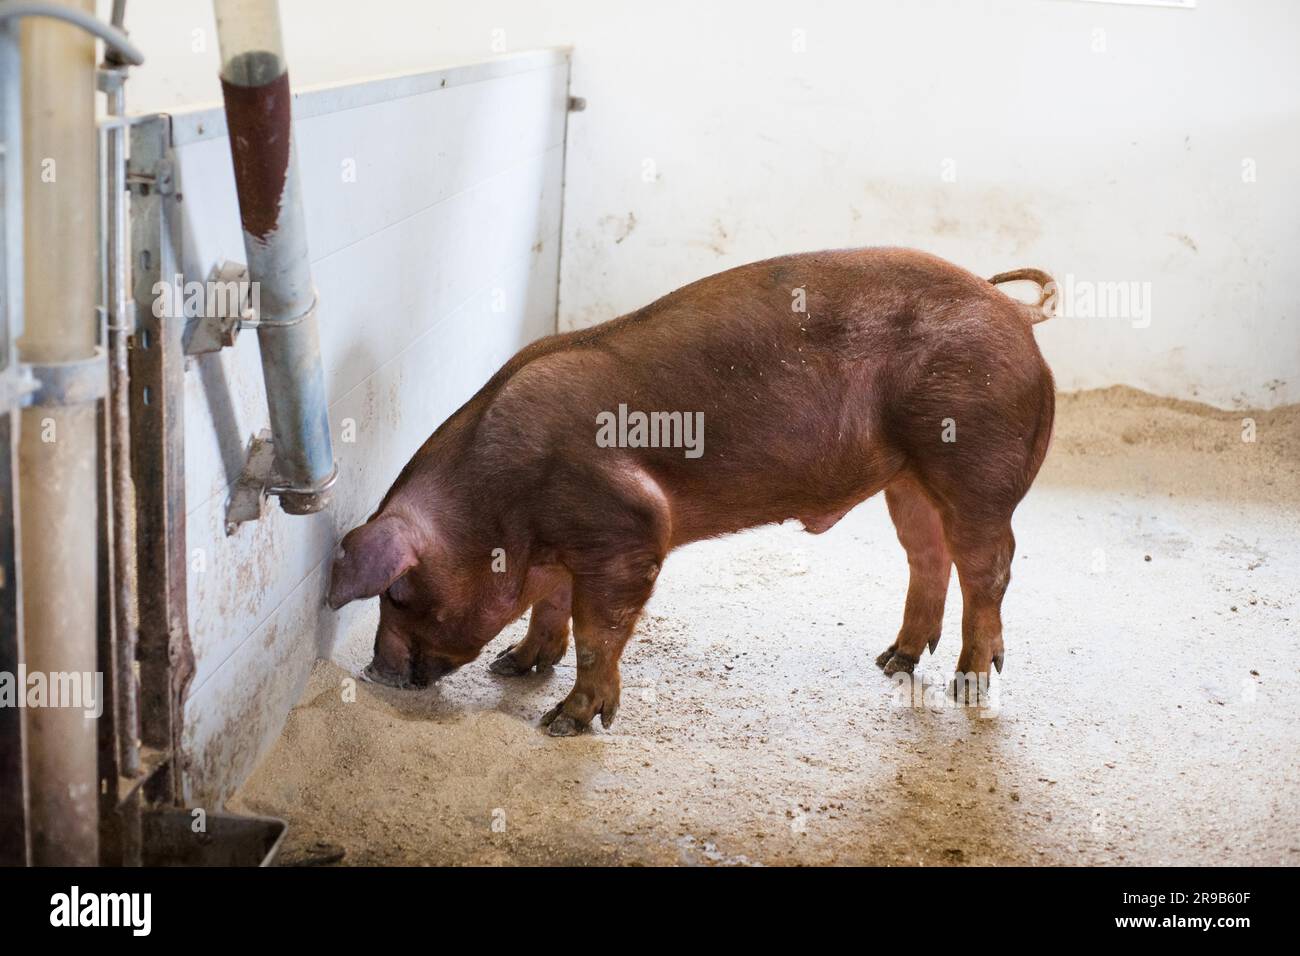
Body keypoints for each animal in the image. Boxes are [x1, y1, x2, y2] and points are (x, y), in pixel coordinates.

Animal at [327, 247, 1056, 734]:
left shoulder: (629, 531)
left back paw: (969, 687)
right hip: (909, 476)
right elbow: (552, 609)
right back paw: (893, 661)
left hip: (976, 460)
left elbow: (598, 630)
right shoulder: (564, 548)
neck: (501, 507)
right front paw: (514, 667)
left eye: (398, 593)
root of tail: (1014, 311)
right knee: (929, 556)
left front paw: (563, 723)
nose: (376, 673)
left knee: (990, 567)